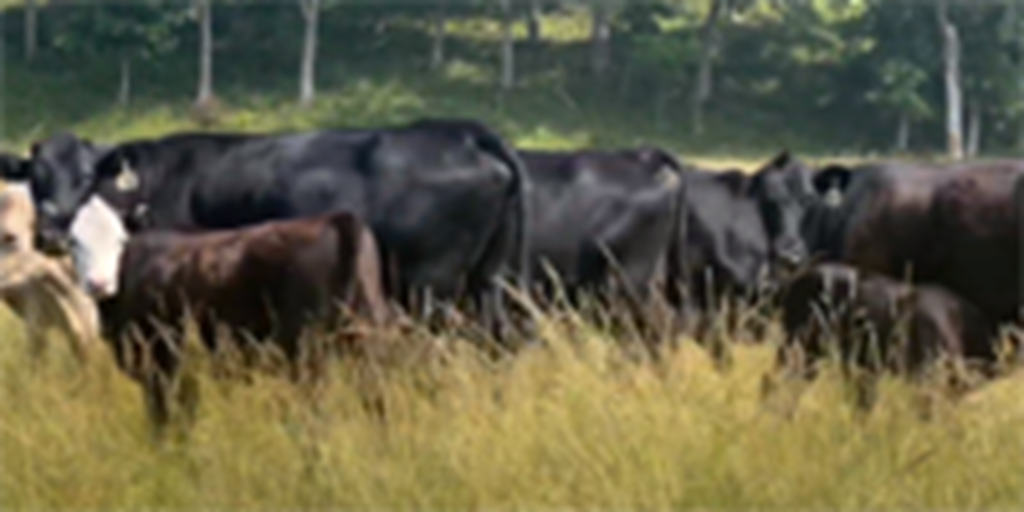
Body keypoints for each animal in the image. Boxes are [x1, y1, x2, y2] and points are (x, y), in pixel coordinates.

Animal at [21, 119, 529, 341]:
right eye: (34, 177)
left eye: (87, 176)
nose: (50, 232)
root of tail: (464, 132)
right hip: (486, 283)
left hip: (432, 288)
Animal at [69, 194, 391, 428]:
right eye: (73, 241)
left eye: (120, 240)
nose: (98, 283)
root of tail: (339, 219)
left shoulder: (159, 367)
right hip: (367, 347)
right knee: (376, 405)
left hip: (308, 356)